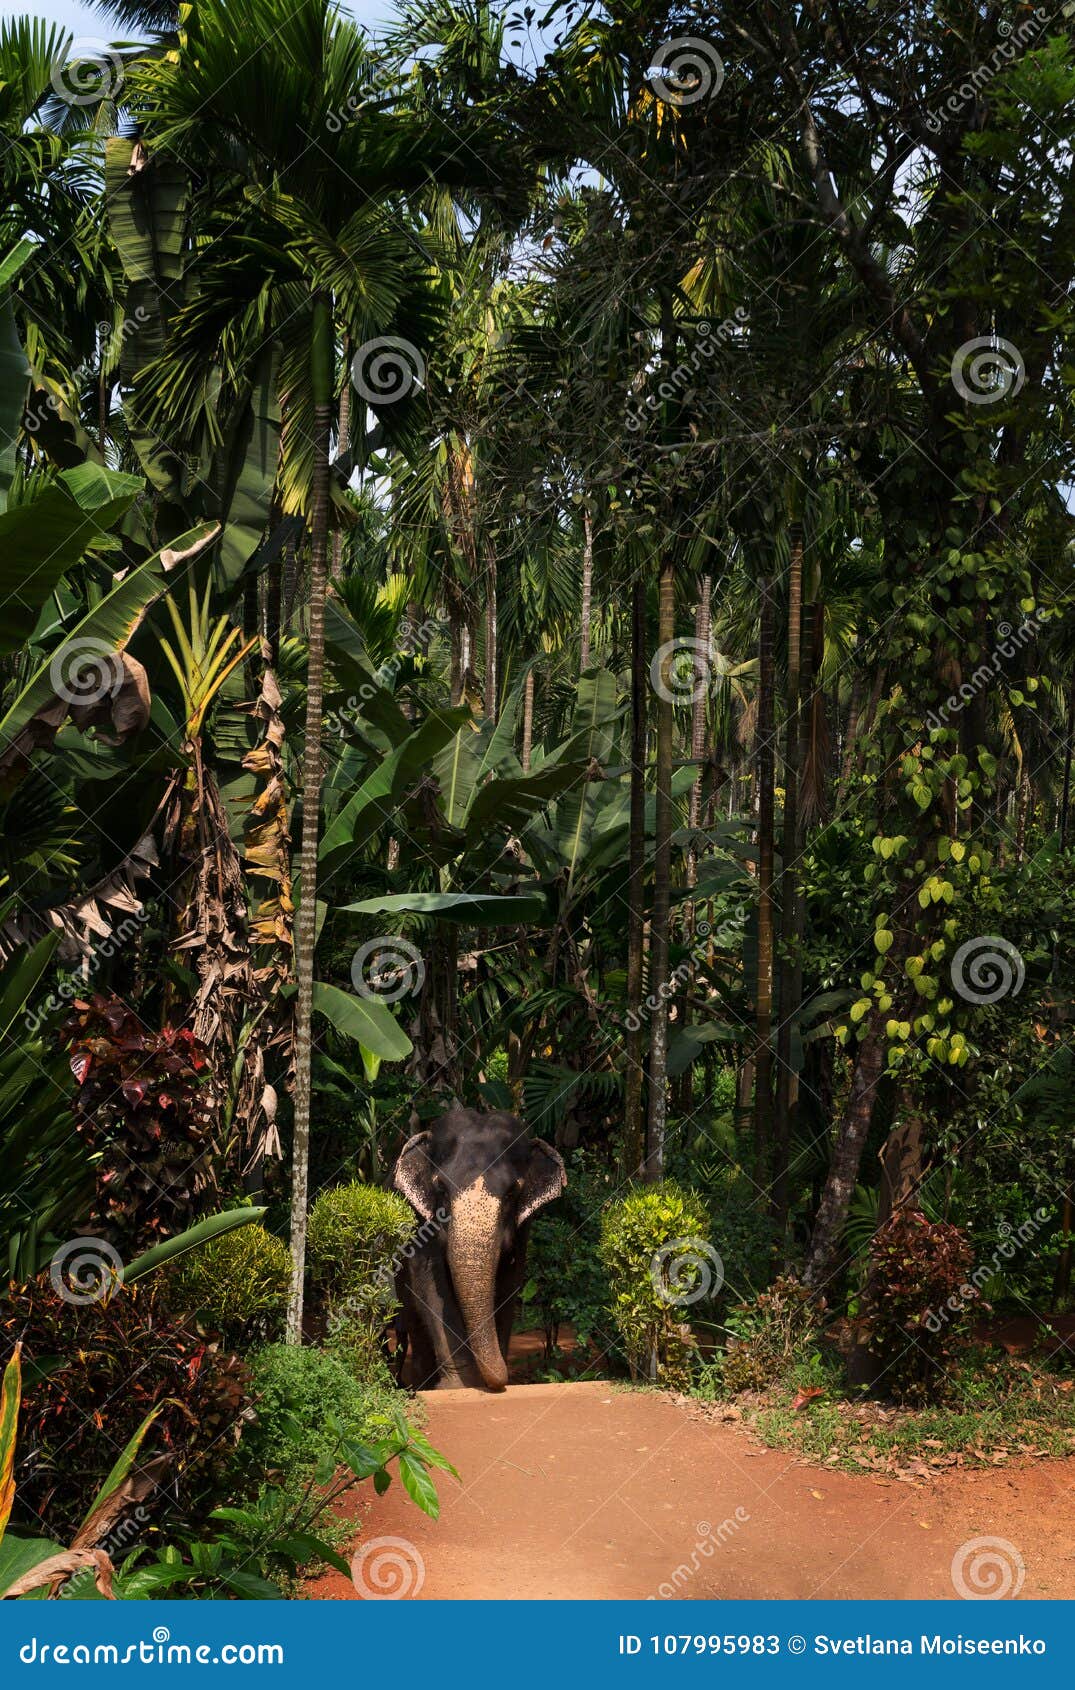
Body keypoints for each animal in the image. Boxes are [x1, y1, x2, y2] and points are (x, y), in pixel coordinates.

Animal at [391, 1104, 566, 1391]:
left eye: (512, 1193)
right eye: (441, 1188)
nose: (502, 1378)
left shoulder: (523, 1228)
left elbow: (510, 1282)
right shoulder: (419, 1218)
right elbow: (429, 1282)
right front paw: (458, 1386)